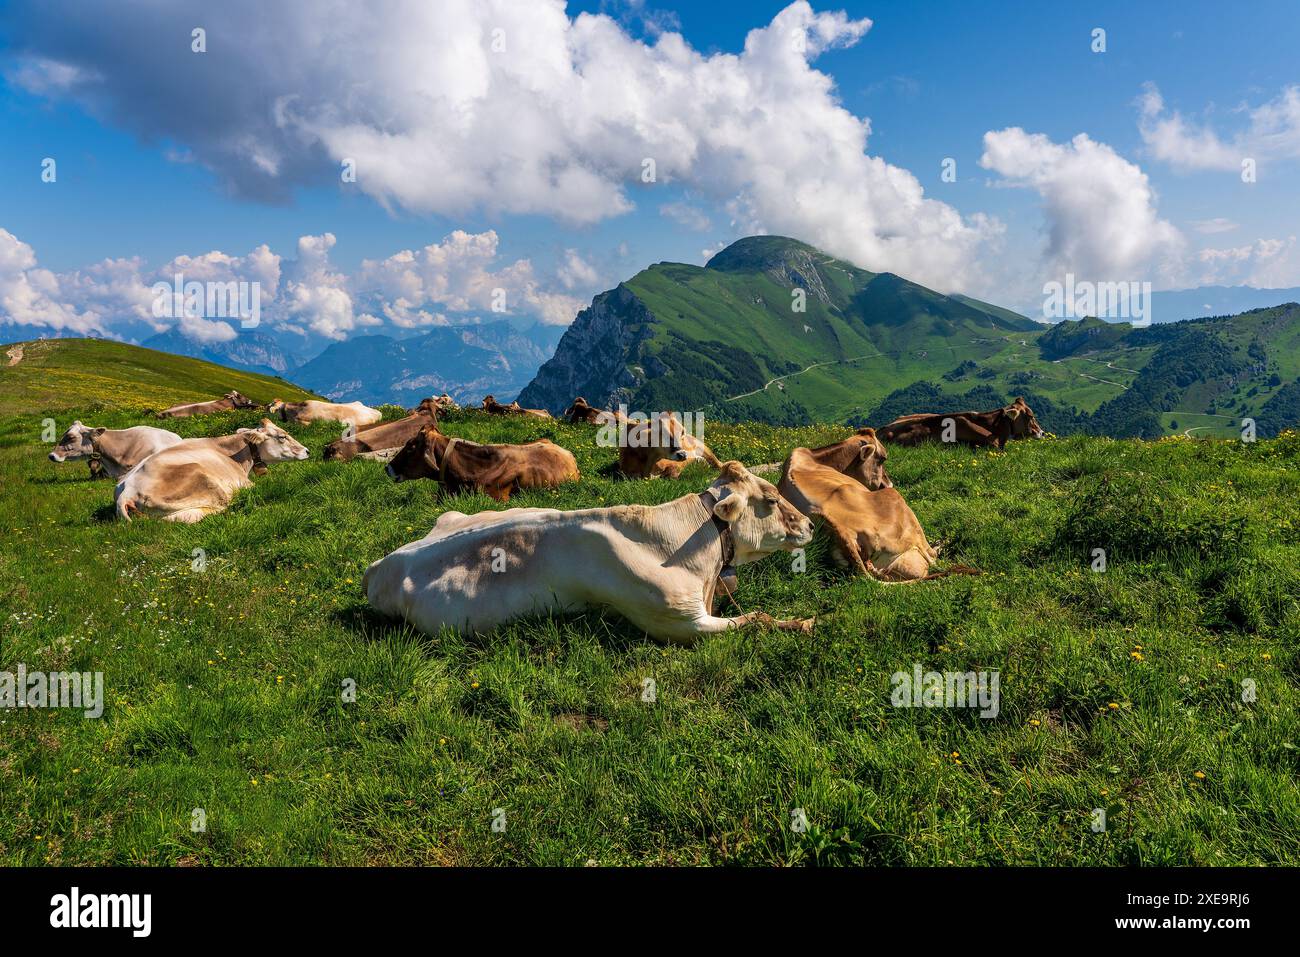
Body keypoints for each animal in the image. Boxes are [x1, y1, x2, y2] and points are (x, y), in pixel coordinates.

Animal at [363, 460, 815, 645]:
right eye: (771, 499)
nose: (811, 525)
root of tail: (378, 564)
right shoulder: (680, 623)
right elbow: (756, 620)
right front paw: (805, 622)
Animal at [777, 446, 976, 582]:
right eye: (880, 460)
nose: (890, 483)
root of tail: (841, 529)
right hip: (897, 505)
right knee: (930, 557)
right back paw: (942, 544)